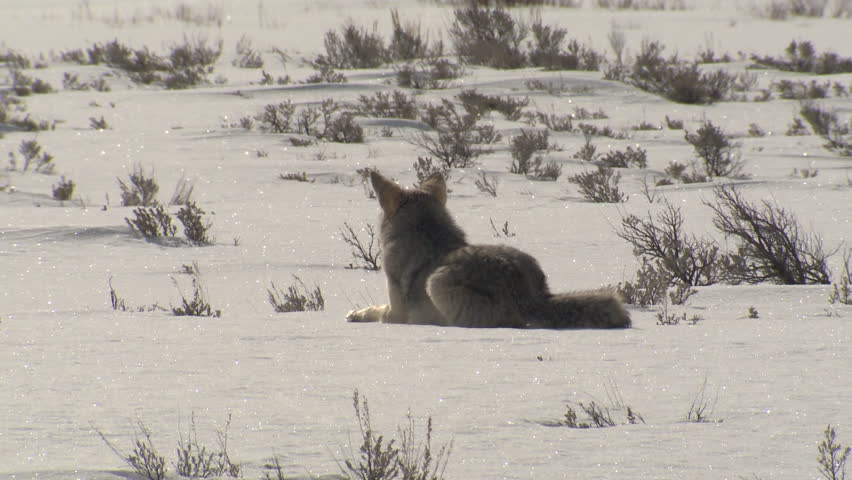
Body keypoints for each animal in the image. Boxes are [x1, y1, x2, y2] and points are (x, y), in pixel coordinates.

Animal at [346, 170, 631, 329]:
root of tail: (528, 295)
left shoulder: (395, 314)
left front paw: (355, 314)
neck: (426, 232)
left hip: (436, 282)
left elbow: (375, 309)